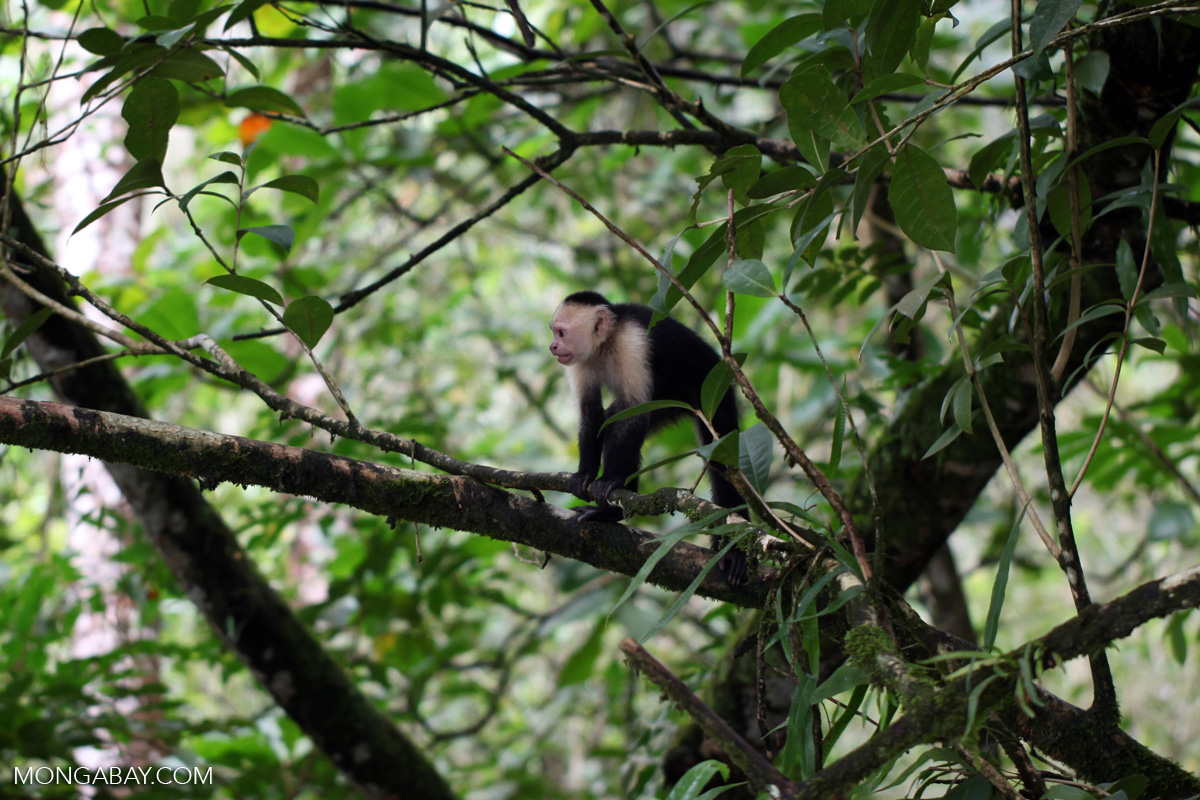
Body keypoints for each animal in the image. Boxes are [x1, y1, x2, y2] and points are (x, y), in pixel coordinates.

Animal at [549, 291, 750, 585]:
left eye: (561, 333)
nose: (552, 347)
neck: (606, 343)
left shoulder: (632, 344)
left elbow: (633, 410)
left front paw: (608, 481)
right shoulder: (580, 360)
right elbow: (591, 411)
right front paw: (584, 475)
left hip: (713, 391)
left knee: (722, 459)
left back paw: (734, 551)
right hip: (671, 401)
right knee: (614, 419)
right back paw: (613, 511)